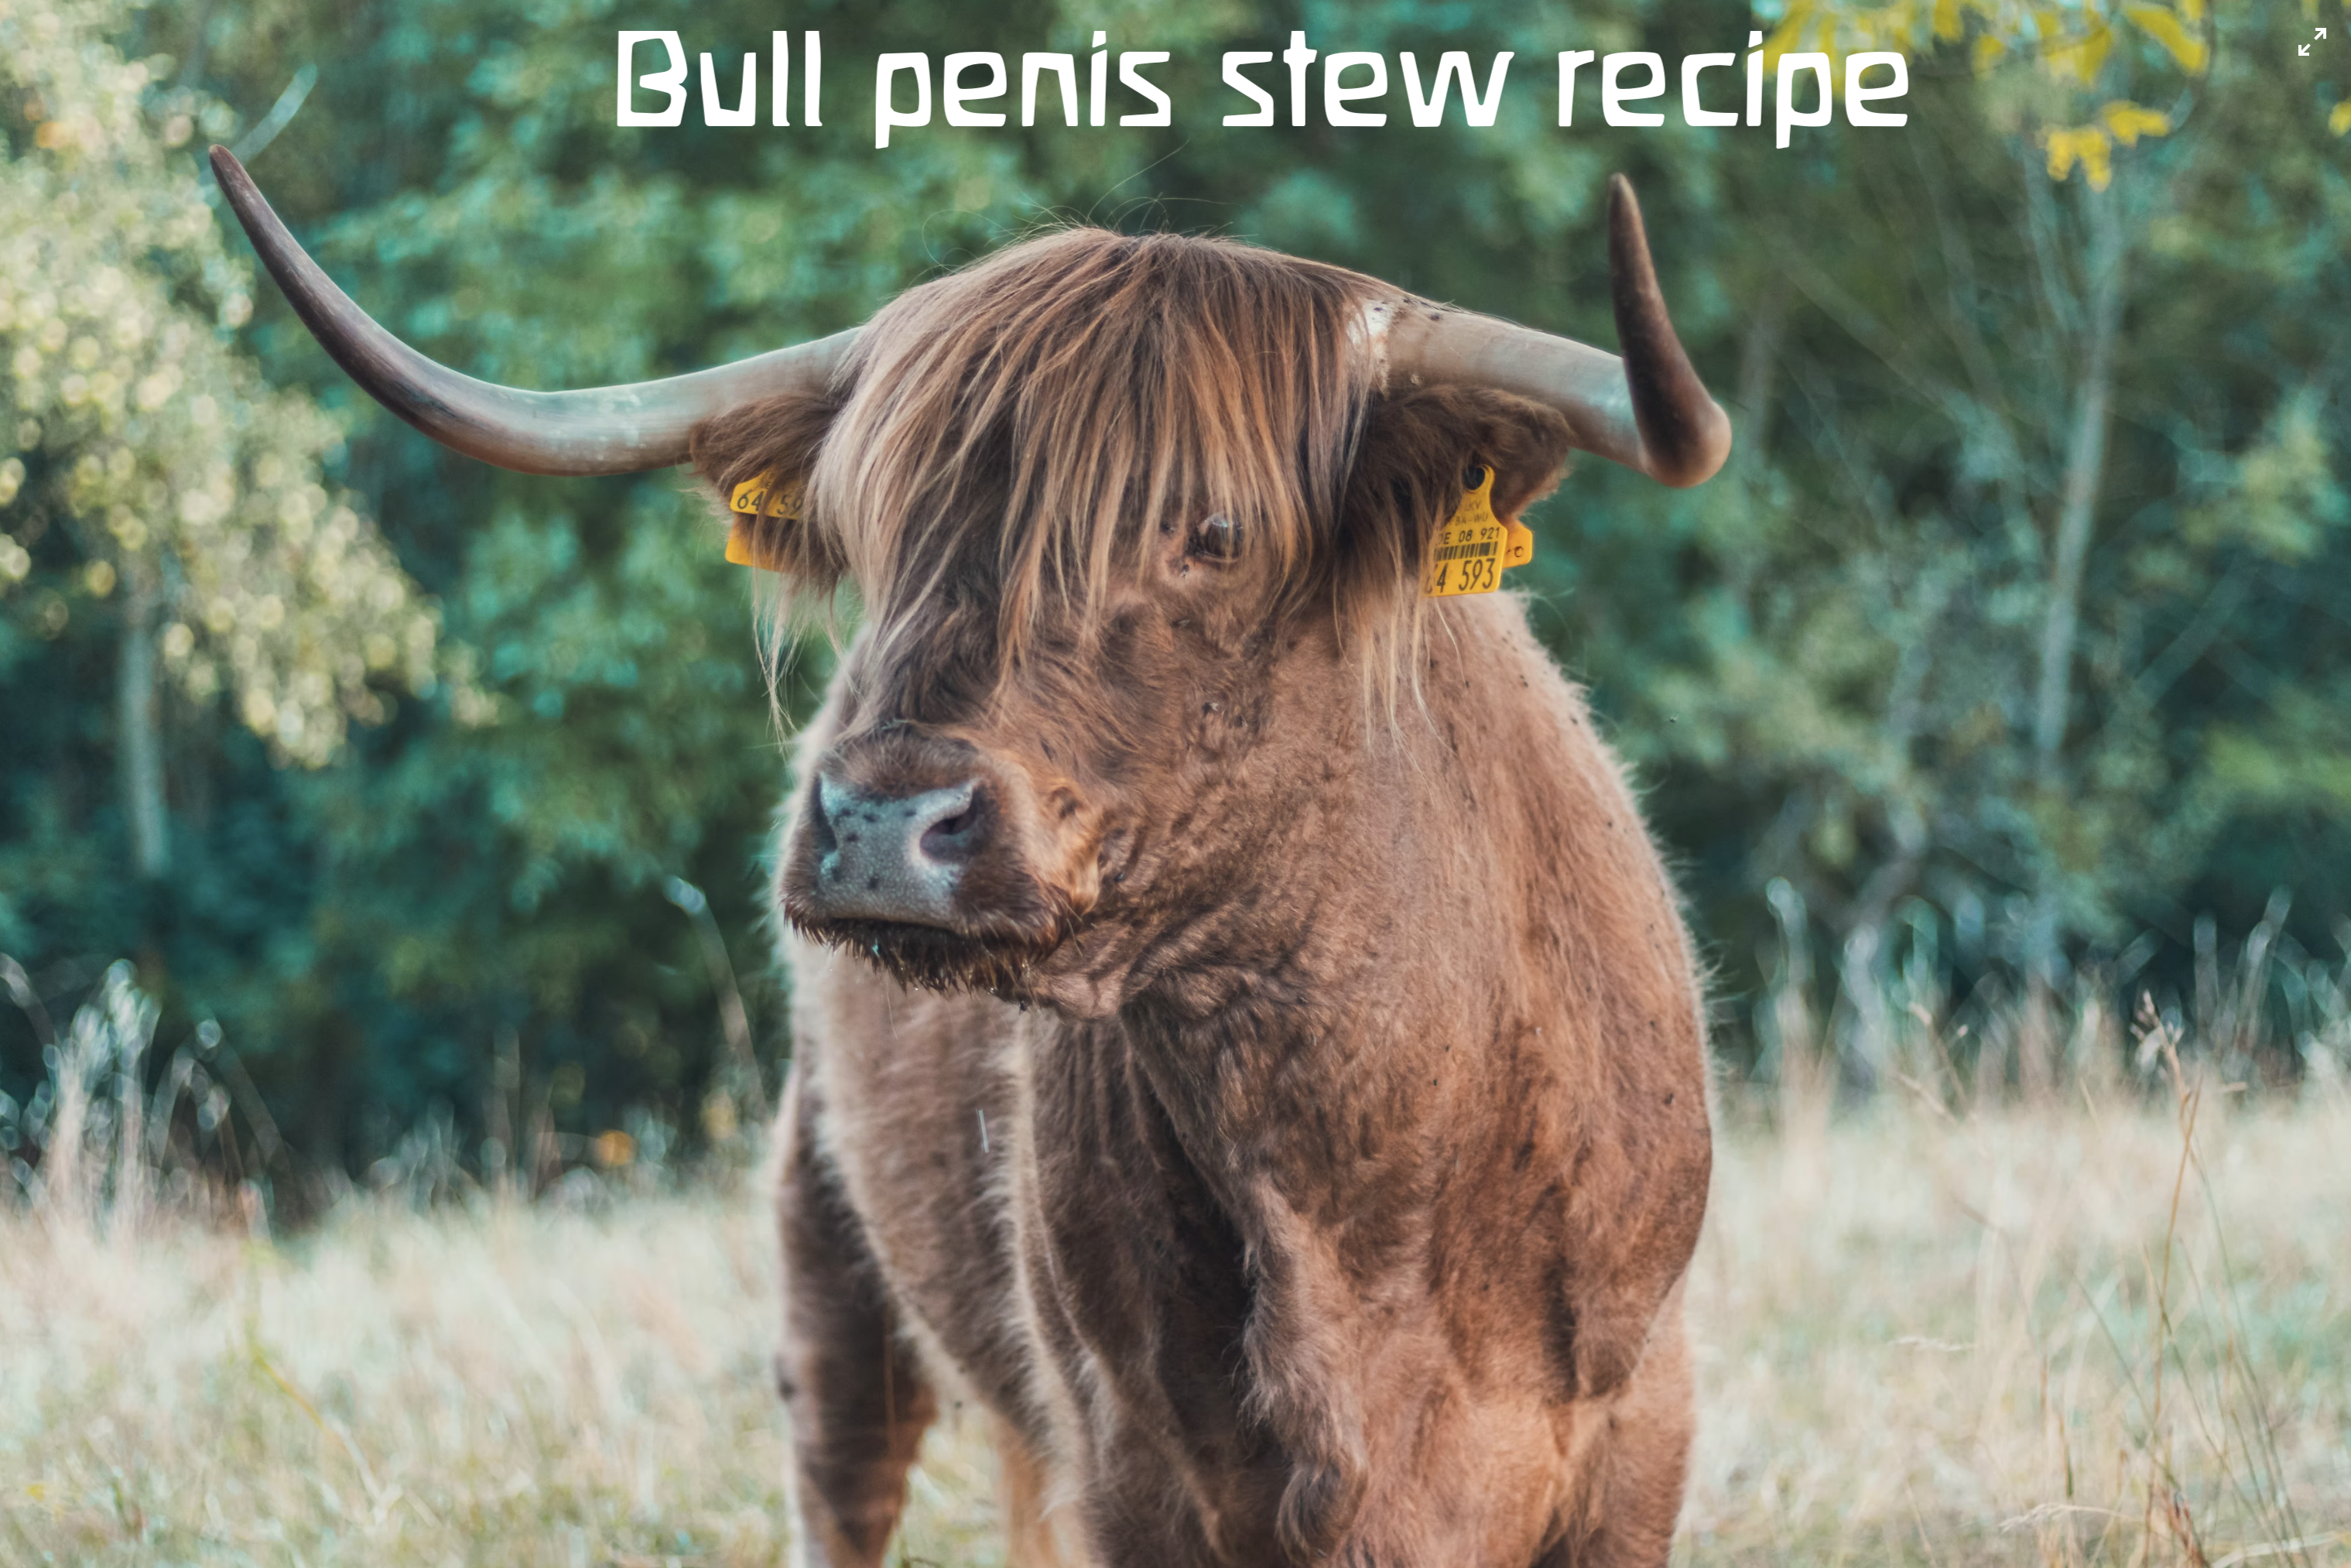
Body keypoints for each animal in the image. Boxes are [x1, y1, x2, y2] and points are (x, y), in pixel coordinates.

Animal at [214, 146, 1727, 1567]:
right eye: (875, 524)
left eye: (1215, 530)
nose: (885, 823)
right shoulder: (1131, 1458)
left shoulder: (1635, 1428)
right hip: (823, 1238)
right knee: (844, 1461)